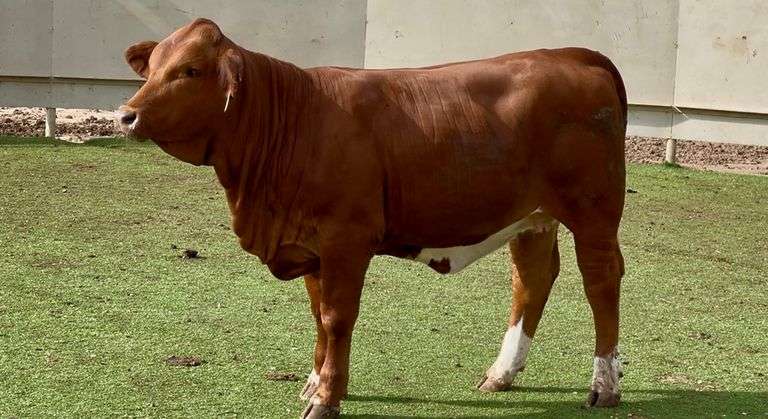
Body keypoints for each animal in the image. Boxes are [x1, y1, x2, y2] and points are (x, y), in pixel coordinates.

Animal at [118, 18, 627, 419]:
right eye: (154, 66)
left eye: (191, 70)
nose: (126, 115)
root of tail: (572, 54)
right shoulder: (310, 243)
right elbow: (317, 315)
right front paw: (316, 382)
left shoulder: (345, 239)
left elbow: (336, 317)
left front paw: (326, 398)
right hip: (532, 218)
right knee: (532, 281)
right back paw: (502, 374)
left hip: (595, 211)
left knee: (601, 281)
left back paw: (604, 385)